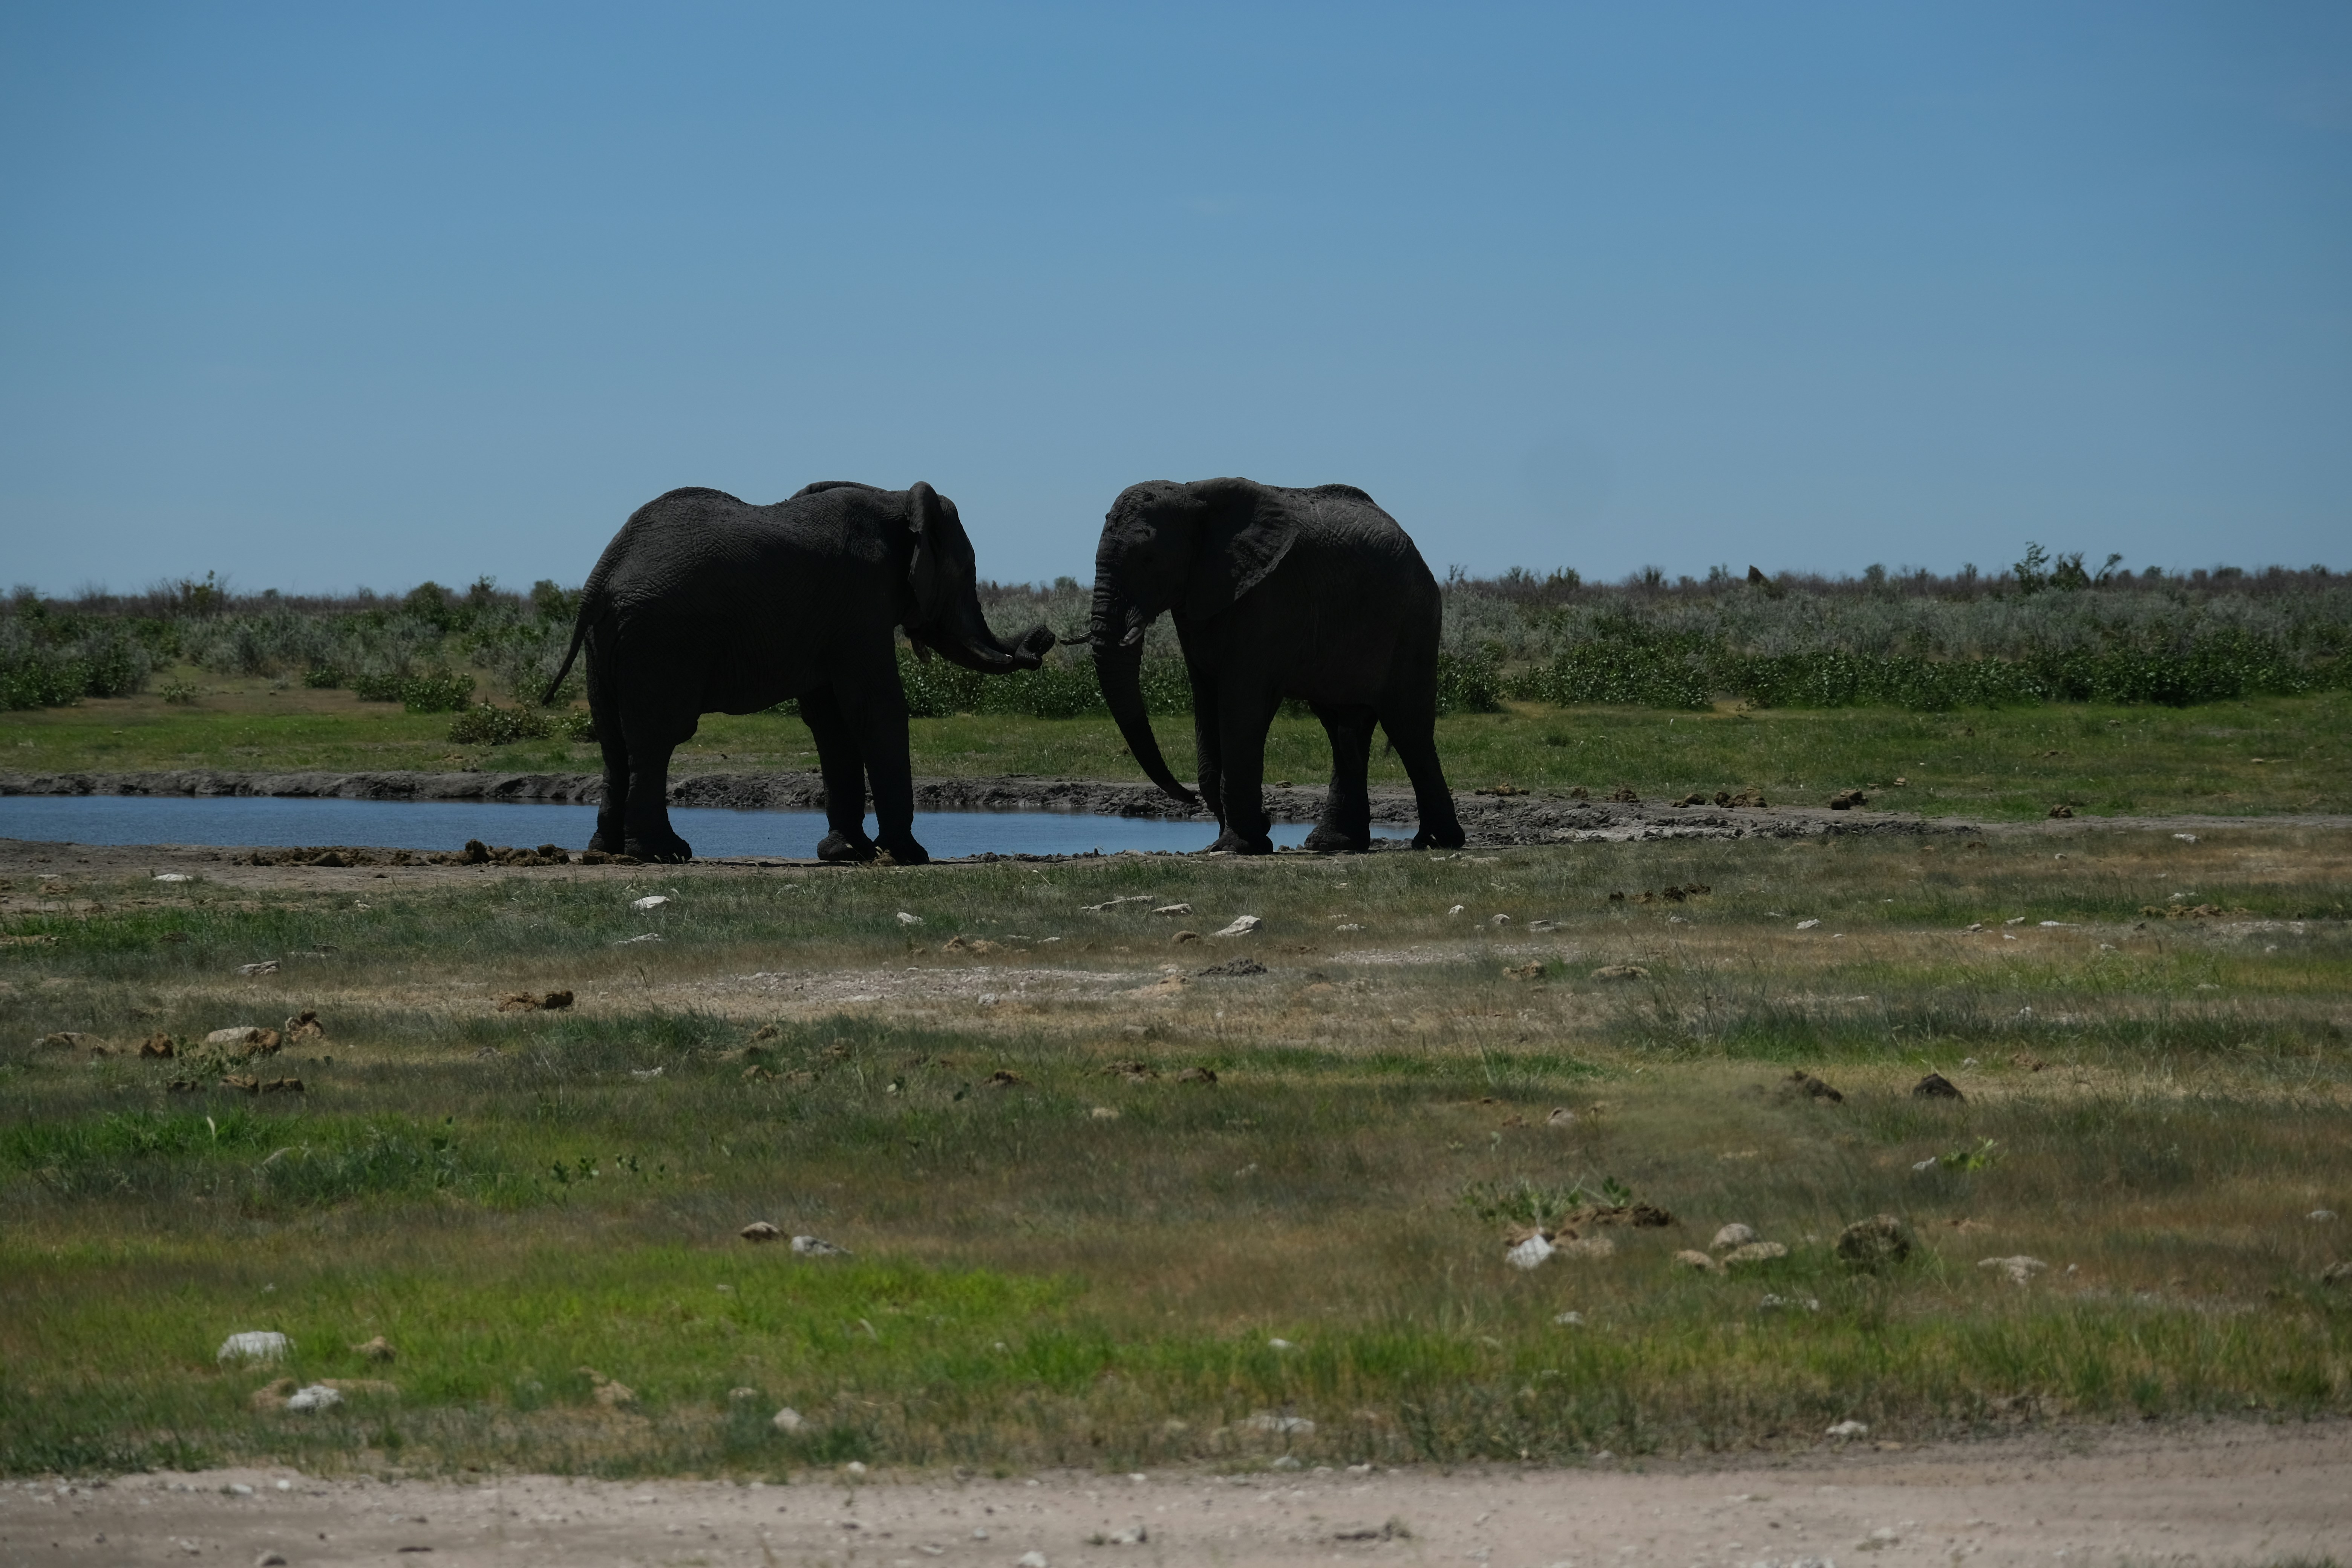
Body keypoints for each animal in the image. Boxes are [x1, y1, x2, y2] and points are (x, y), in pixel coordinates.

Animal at [544, 480, 1051, 864]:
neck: (894, 499)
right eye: (966, 570)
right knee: (657, 739)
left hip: (608, 644)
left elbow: (832, 721)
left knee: (614, 742)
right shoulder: (861, 603)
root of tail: (602, 576)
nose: (1042, 639)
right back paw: (664, 853)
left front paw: (846, 854)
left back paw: (605, 852)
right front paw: (909, 855)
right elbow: (877, 707)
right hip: (660, 640)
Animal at [1088, 476, 1466, 855]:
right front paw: (1235, 839)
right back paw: (1333, 843)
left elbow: (1241, 704)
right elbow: (1206, 699)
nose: (1189, 799)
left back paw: (1437, 842)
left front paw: (1239, 845)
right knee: (1344, 729)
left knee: (1407, 727)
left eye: (1148, 559)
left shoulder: (1269, 599)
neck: (1191, 493)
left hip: (1415, 621)